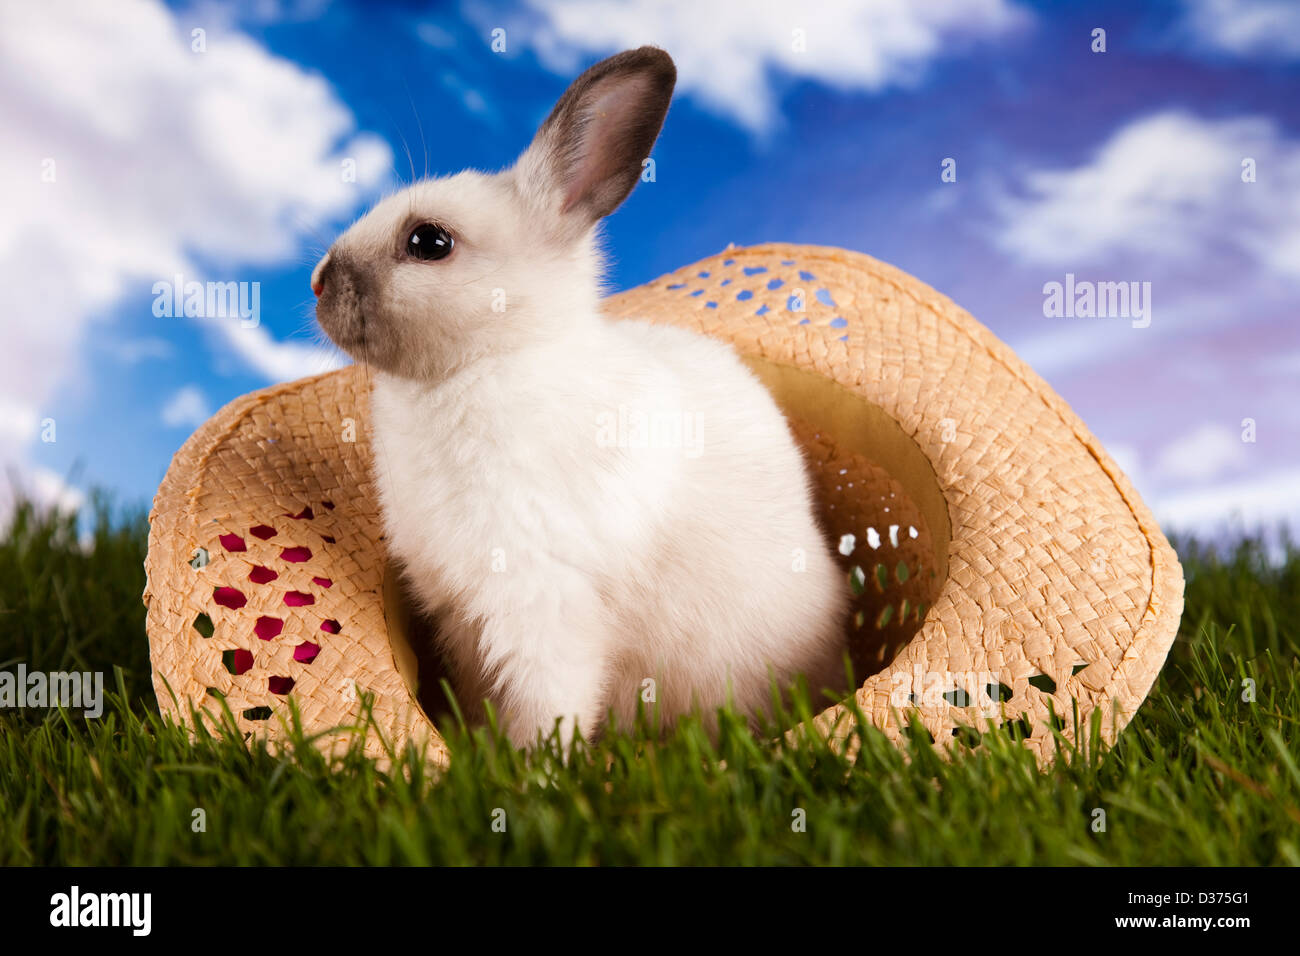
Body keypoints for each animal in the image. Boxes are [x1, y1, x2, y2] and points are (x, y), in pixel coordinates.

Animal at [313, 46, 850, 750]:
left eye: (429, 242)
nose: (318, 283)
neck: (490, 360)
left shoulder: (543, 608)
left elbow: (545, 712)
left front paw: (525, 768)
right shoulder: (463, 617)